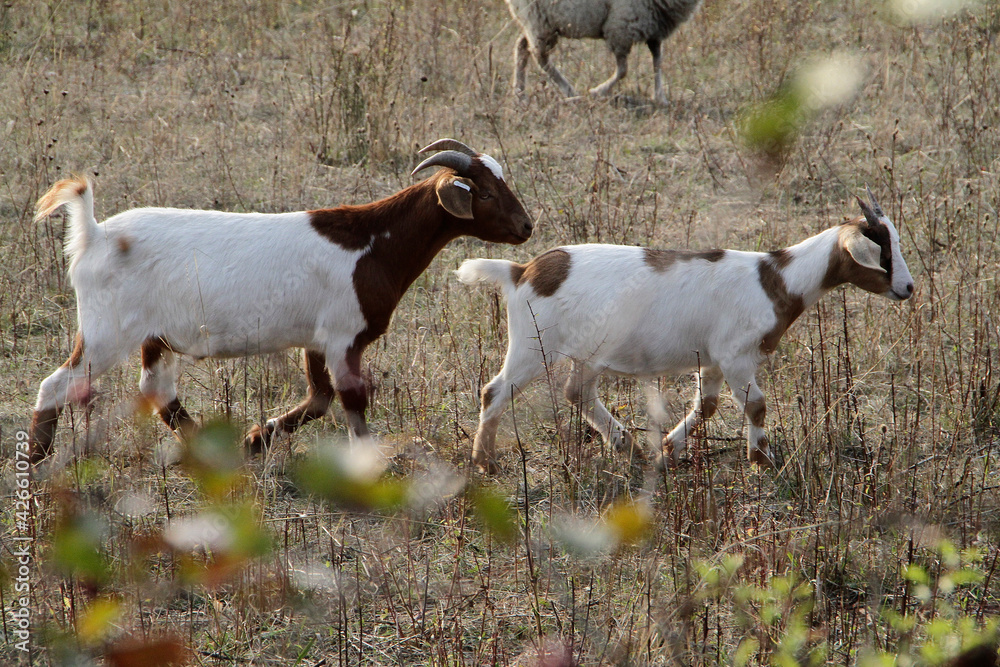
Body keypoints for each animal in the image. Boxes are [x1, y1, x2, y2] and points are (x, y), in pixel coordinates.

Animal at [29, 139, 533, 464]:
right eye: (486, 192)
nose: (527, 227)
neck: (372, 243)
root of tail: (94, 235)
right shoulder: (343, 336)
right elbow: (351, 400)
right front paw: (369, 465)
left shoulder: (316, 339)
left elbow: (320, 397)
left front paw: (257, 439)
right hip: (107, 331)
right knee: (58, 384)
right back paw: (35, 464)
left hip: (157, 336)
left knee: (157, 389)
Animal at [457, 189, 914, 472]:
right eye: (882, 252)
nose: (908, 288)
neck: (775, 280)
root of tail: (522, 271)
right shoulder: (735, 355)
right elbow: (756, 405)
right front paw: (762, 461)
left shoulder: (711, 360)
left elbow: (707, 406)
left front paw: (668, 451)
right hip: (534, 344)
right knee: (495, 391)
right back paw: (485, 462)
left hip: (587, 352)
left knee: (578, 392)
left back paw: (628, 447)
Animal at [506, 0, 702, 104]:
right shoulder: (621, 28)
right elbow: (623, 70)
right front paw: (597, 91)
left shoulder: (655, 28)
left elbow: (657, 62)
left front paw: (661, 97)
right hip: (537, 18)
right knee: (540, 57)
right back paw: (570, 92)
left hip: (537, 22)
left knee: (522, 46)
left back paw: (519, 93)